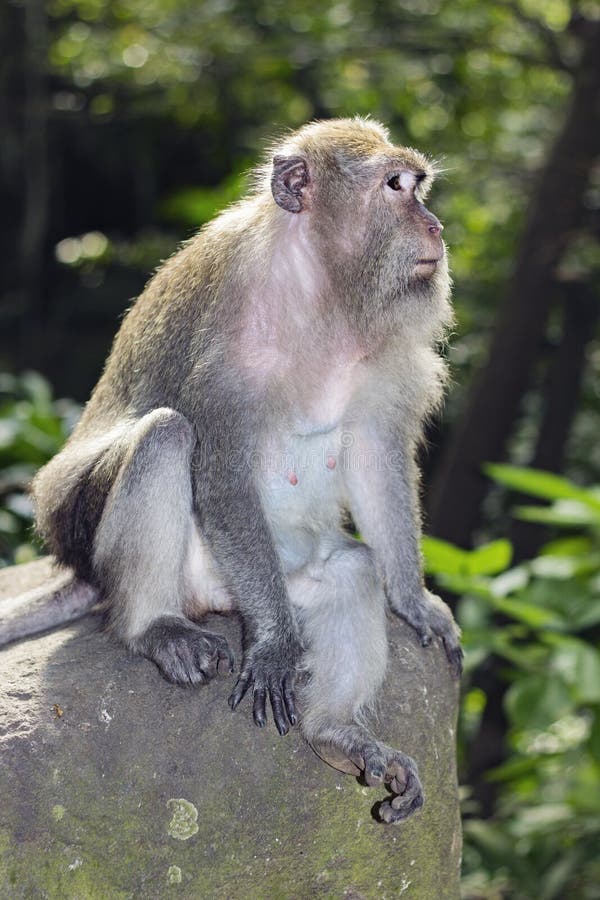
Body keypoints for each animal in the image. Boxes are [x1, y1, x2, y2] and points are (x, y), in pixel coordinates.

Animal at [0, 117, 461, 824]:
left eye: (419, 186)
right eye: (395, 187)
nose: (435, 226)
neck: (316, 295)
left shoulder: (386, 352)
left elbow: (375, 461)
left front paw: (414, 600)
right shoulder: (224, 357)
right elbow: (221, 474)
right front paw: (271, 646)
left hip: (273, 581)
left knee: (352, 570)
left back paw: (336, 732)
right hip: (118, 540)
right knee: (165, 437)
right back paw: (155, 629)